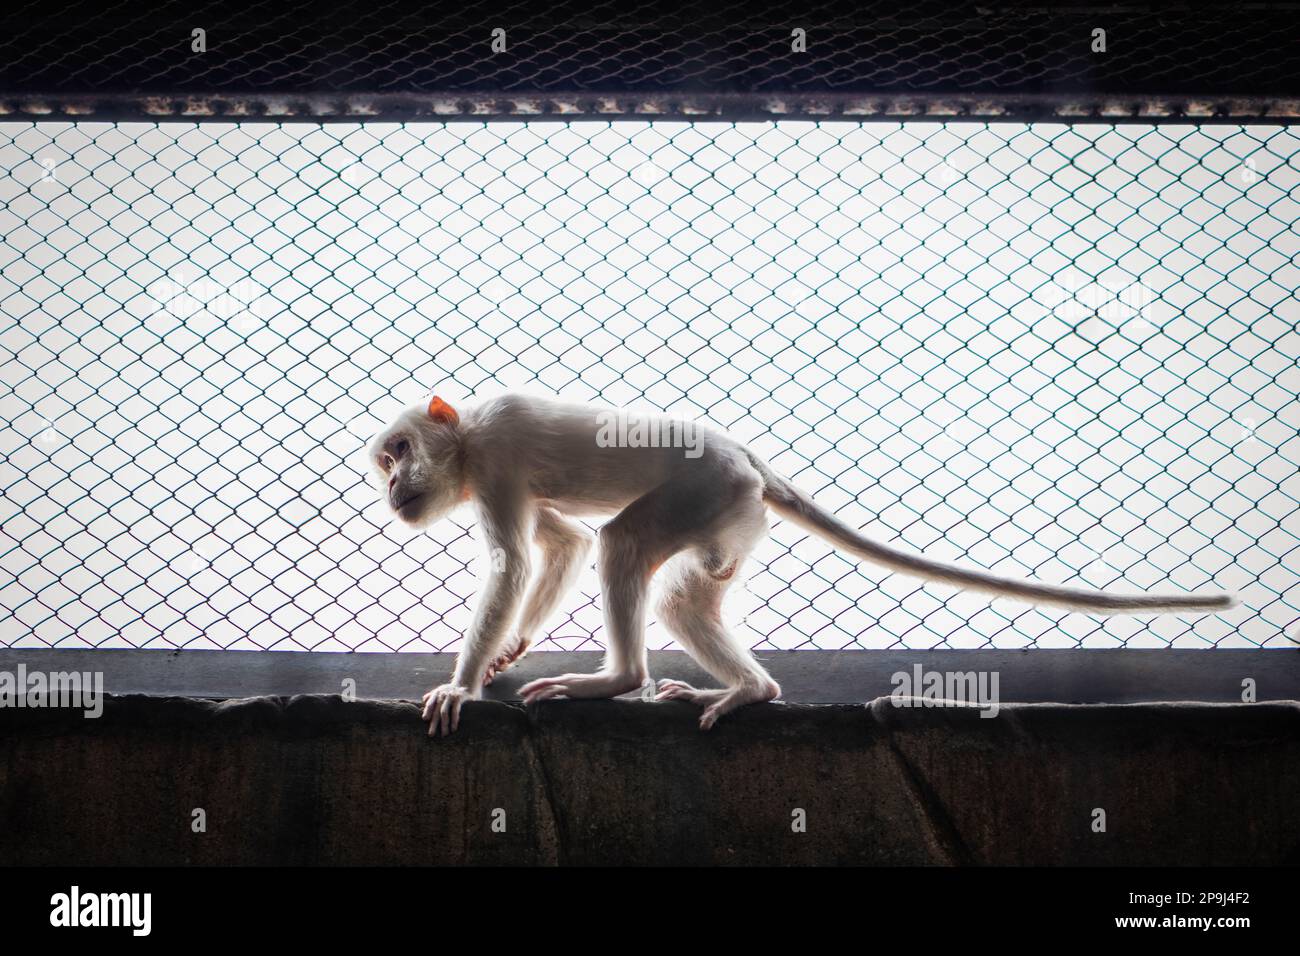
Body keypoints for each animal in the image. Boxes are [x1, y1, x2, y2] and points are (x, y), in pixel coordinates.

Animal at [368, 392, 1237, 736]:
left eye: (402, 450)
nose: (391, 487)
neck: (467, 438)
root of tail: (748, 457)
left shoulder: (498, 453)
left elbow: (517, 561)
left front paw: (463, 682)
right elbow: (561, 544)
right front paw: (506, 653)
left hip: (707, 490)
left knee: (624, 547)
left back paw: (618, 680)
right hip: (731, 517)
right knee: (680, 593)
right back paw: (751, 689)